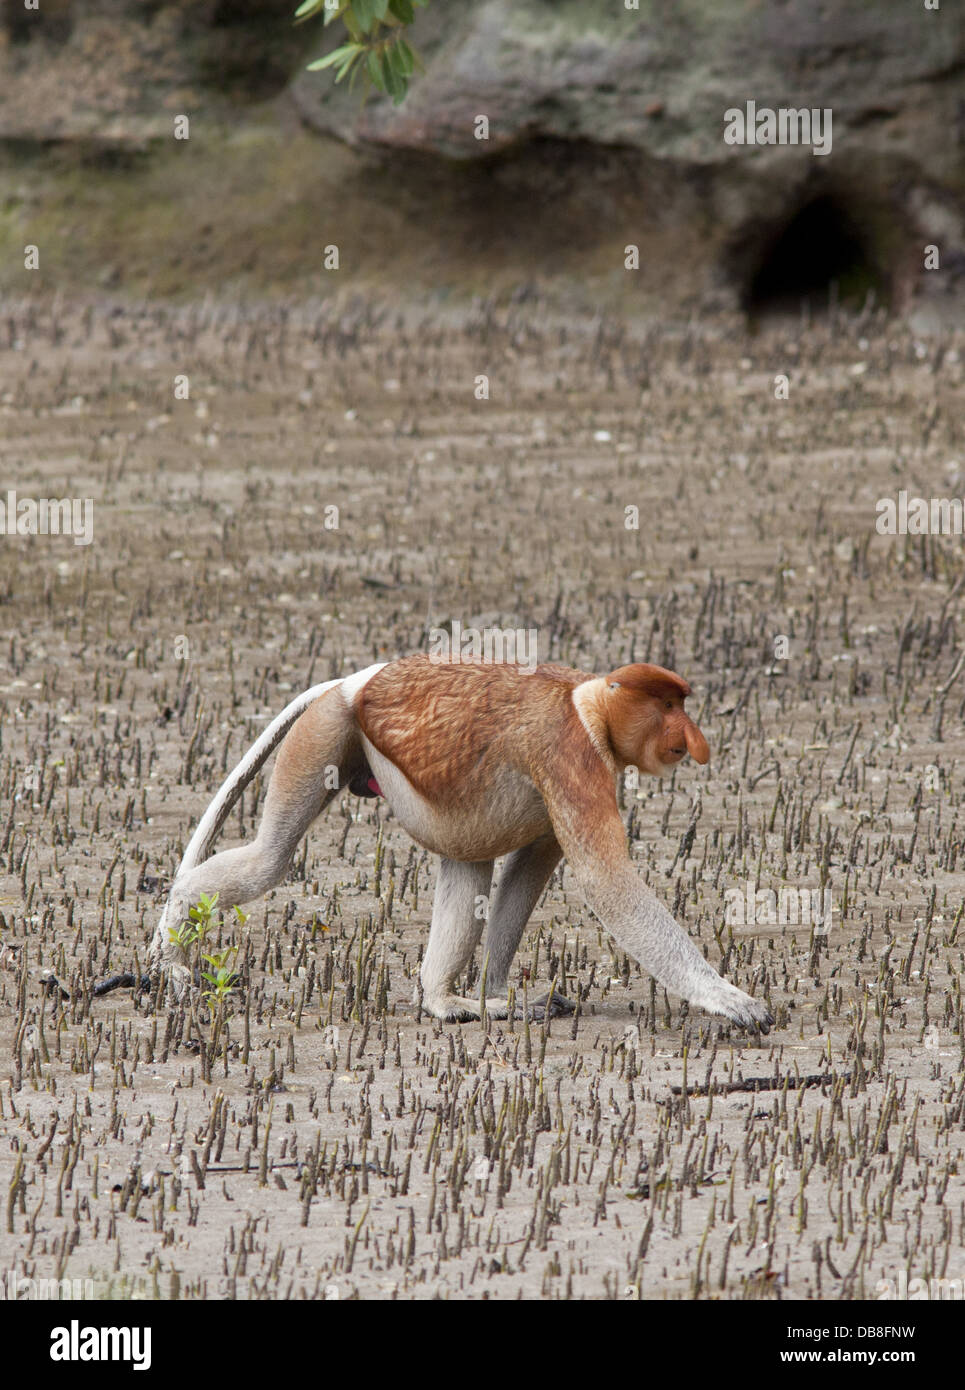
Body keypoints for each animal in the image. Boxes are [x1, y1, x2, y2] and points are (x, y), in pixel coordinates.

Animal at [146, 655, 772, 1032]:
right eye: (668, 705)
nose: (695, 742)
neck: (589, 705)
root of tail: (354, 681)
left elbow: (528, 870)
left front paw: (502, 992)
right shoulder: (571, 760)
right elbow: (607, 883)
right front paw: (733, 1001)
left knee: (468, 863)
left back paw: (448, 1000)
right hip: (324, 733)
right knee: (269, 860)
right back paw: (172, 956)